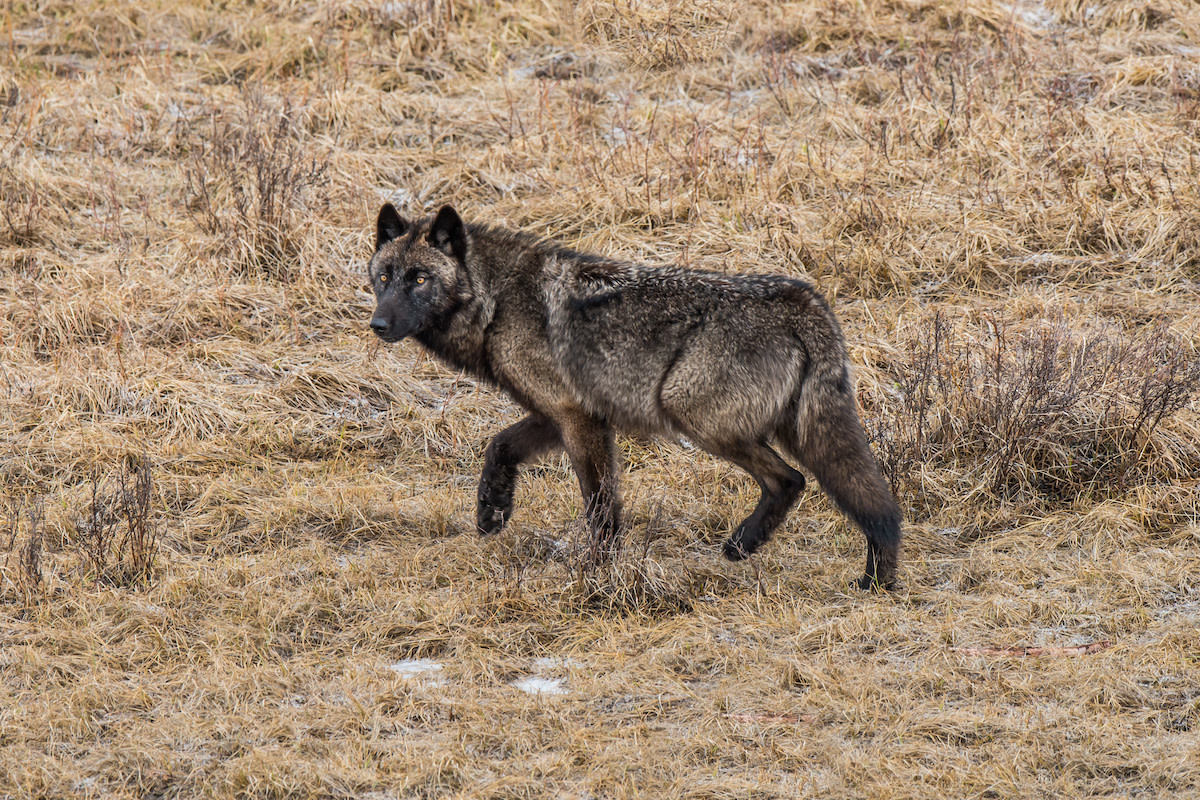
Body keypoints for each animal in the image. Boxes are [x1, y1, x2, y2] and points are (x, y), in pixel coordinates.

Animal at [367, 203, 902, 590]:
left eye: (419, 279)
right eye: (383, 278)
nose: (377, 324)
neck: (495, 300)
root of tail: (807, 302)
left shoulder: (578, 418)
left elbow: (601, 506)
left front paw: (597, 570)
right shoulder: (556, 415)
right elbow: (498, 446)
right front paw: (491, 512)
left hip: (694, 417)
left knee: (789, 481)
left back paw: (744, 546)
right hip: (802, 434)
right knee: (874, 503)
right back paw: (876, 578)